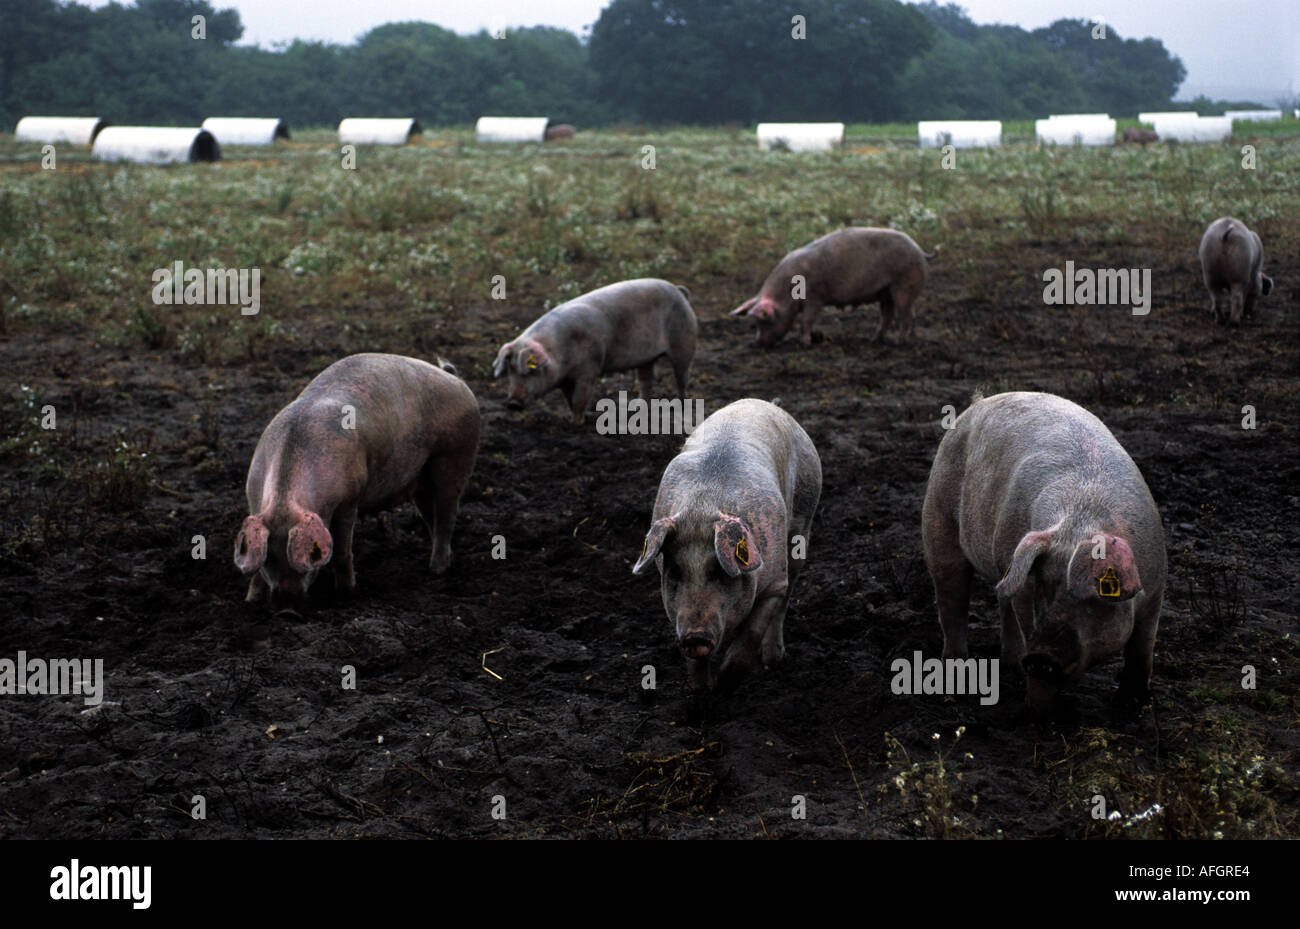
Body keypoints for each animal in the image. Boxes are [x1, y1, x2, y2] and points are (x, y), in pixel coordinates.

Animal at [234, 353, 480, 604]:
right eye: (269, 560)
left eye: (312, 554)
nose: (286, 602)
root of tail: (455, 379)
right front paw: (251, 601)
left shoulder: (350, 498)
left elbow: (342, 550)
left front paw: (347, 594)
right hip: (422, 478)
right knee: (432, 515)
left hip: (456, 456)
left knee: (447, 515)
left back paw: (436, 571)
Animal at [492, 278, 697, 424]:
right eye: (510, 371)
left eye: (529, 371)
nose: (512, 403)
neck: (558, 350)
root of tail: (679, 290)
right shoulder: (565, 379)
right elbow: (569, 399)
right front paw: (570, 420)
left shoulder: (589, 370)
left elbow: (580, 399)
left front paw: (577, 424)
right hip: (646, 358)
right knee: (646, 381)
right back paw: (637, 408)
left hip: (684, 343)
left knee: (682, 377)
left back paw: (681, 406)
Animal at [633, 399, 822, 692]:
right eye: (675, 571)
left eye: (719, 572)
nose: (695, 637)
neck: (702, 508)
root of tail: (765, 404)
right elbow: (696, 666)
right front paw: (703, 690)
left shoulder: (773, 582)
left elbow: (752, 633)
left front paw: (724, 683)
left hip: (804, 518)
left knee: (787, 595)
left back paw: (773, 660)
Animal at [730, 227, 935, 347]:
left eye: (764, 321)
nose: (757, 342)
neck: (787, 292)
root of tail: (921, 251)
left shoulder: (815, 297)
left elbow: (807, 320)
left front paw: (805, 343)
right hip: (885, 292)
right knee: (888, 315)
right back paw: (874, 340)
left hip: (904, 286)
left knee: (907, 314)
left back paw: (900, 342)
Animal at [921, 391, 1166, 717]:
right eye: (1044, 586)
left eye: (1092, 598)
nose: (1040, 657)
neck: (1080, 522)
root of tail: (979, 403)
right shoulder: (1028, 596)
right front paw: (1043, 715)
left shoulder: (1155, 589)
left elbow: (1141, 650)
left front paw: (1130, 707)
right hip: (938, 520)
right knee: (951, 600)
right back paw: (957, 678)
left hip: (1008, 561)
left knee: (1002, 599)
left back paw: (1011, 666)